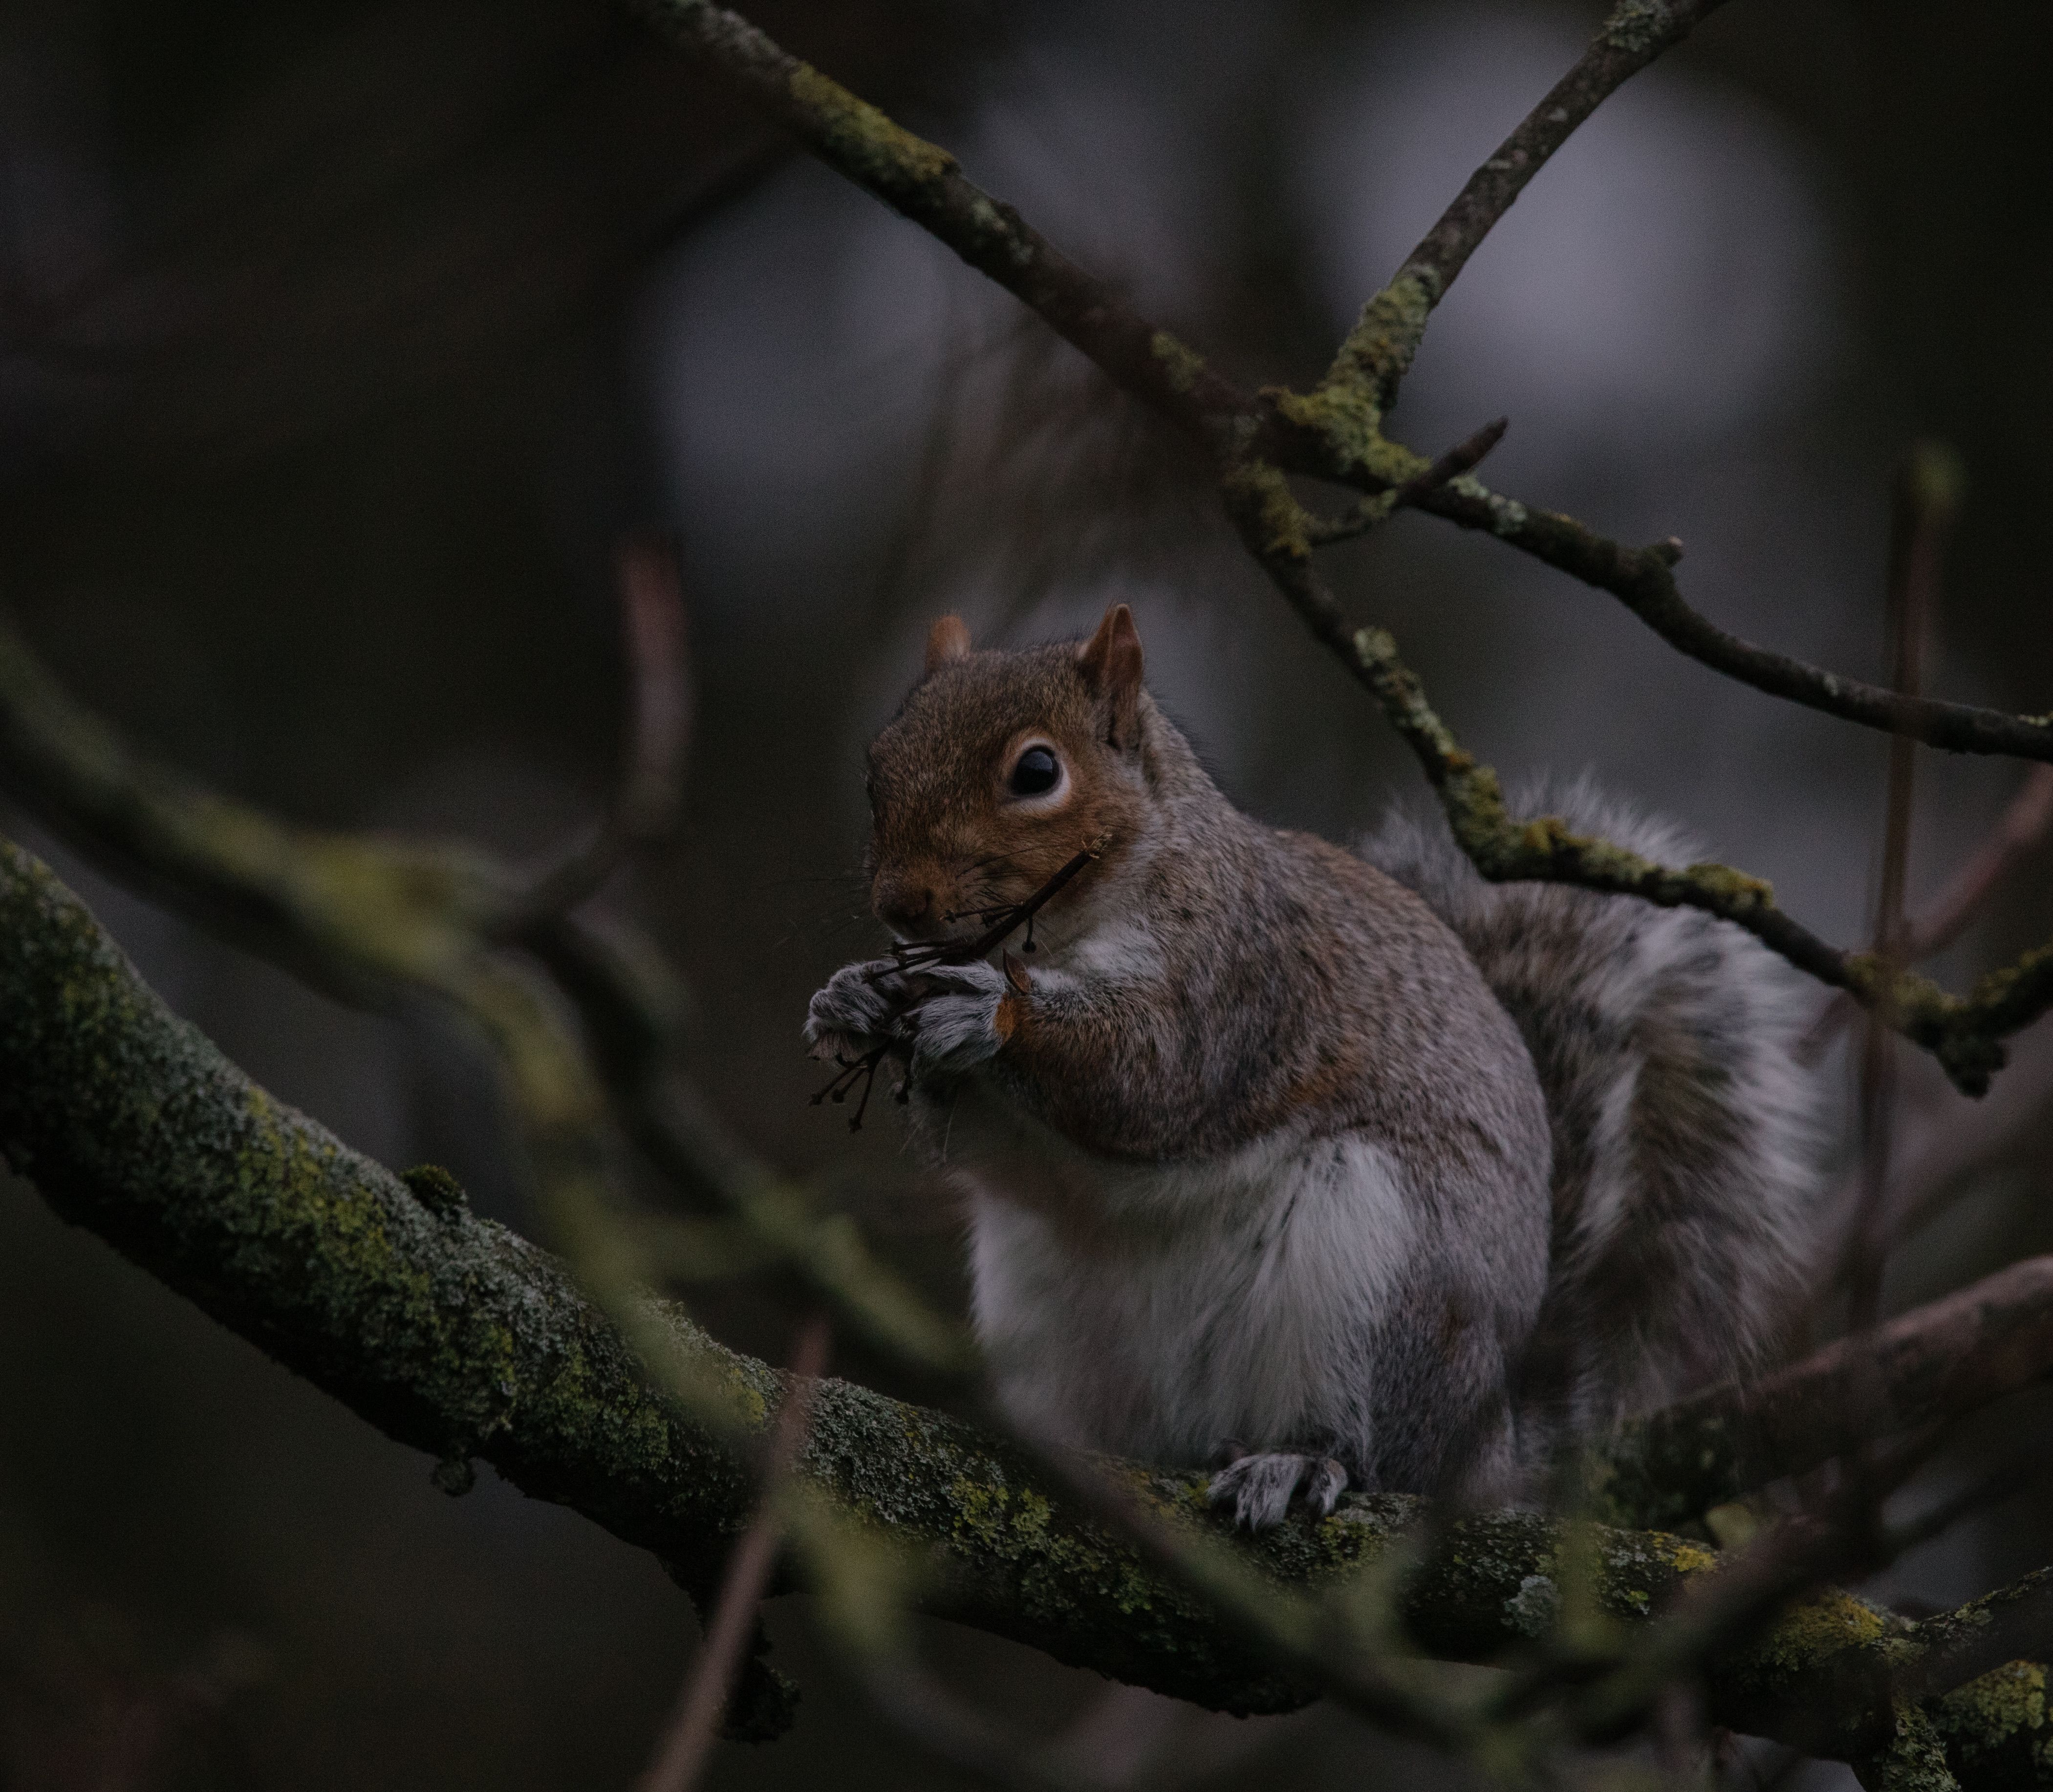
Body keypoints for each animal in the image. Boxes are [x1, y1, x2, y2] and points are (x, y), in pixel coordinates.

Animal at [805, 602, 1819, 1528]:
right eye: (876, 765)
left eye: (1037, 772)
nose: (902, 902)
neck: (1063, 932)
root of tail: (1489, 1449)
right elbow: (977, 1141)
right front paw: (851, 998)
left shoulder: (1244, 979)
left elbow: (1149, 1078)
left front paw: (989, 1007)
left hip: (1373, 1269)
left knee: (1365, 1443)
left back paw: (1296, 1460)